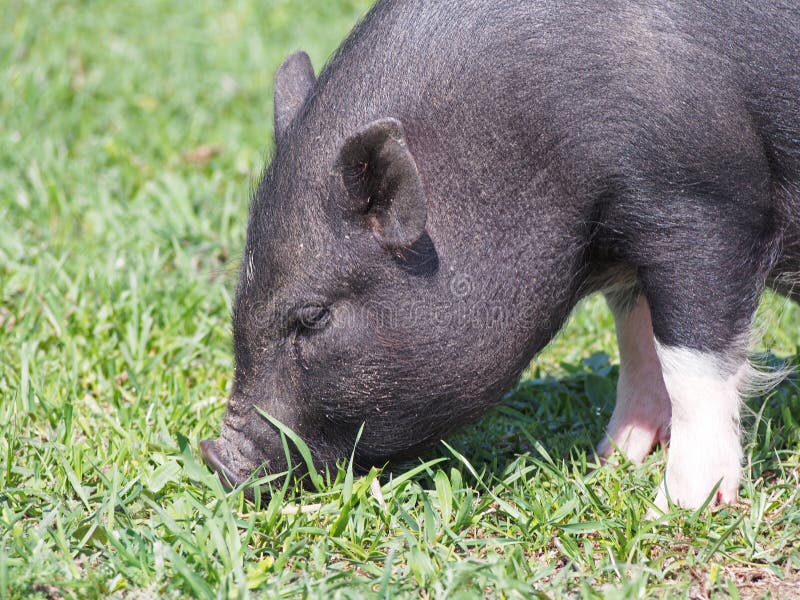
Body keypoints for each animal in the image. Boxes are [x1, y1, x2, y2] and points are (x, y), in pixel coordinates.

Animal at [200, 0, 800, 512]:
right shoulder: (628, 245)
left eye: (313, 316)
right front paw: (609, 461)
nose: (215, 458)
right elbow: (637, 340)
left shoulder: (704, 204)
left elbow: (692, 360)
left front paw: (677, 507)